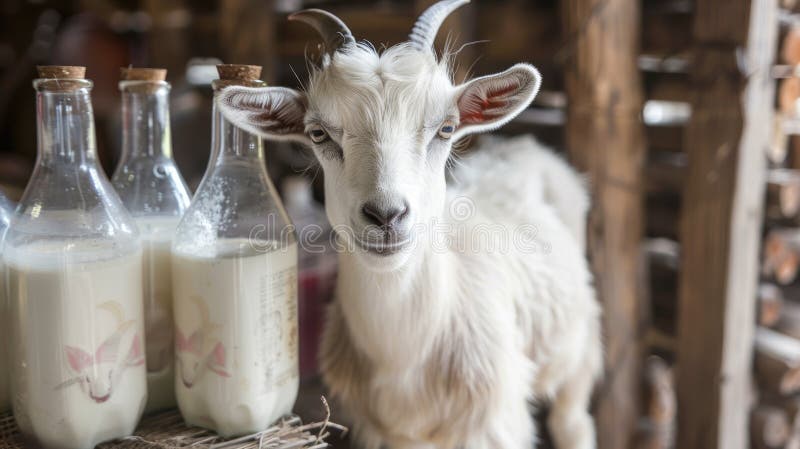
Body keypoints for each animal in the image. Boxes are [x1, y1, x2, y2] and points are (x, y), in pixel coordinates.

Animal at [217, 1, 602, 448]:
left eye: (446, 128)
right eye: (318, 133)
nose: (386, 215)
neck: (403, 356)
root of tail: (520, 146)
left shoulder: (495, 425)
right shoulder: (386, 431)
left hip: (579, 350)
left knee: (572, 419)